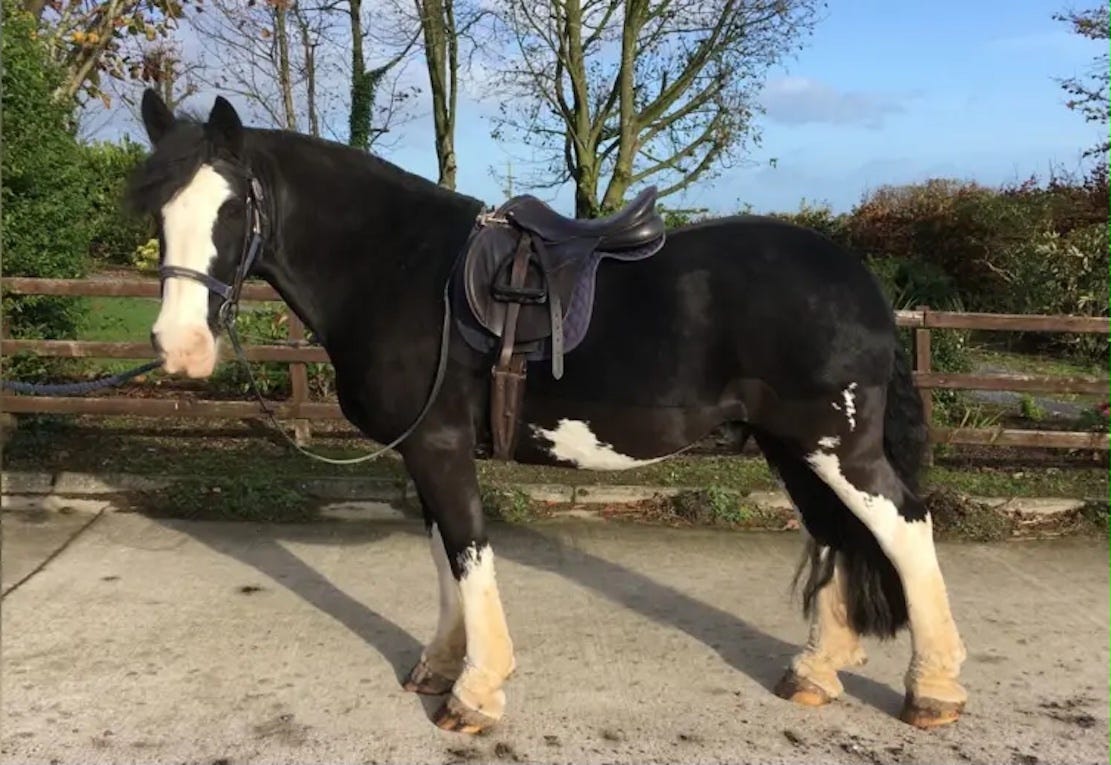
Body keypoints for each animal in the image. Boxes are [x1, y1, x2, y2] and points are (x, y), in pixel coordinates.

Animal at [126, 88, 967, 735]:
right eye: (155, 211)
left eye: (231, 210)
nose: (180, 346)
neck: (399, 268)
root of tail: (857, 279)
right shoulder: (423, 450)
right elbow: (442, 554)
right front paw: (438, 665)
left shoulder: (439, 444)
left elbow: (468, 552)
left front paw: (474, 692)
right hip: (791, 446)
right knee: (835, 533)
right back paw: (817, 670)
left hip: (837, 447)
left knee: (905, 527)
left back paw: (931, 689)